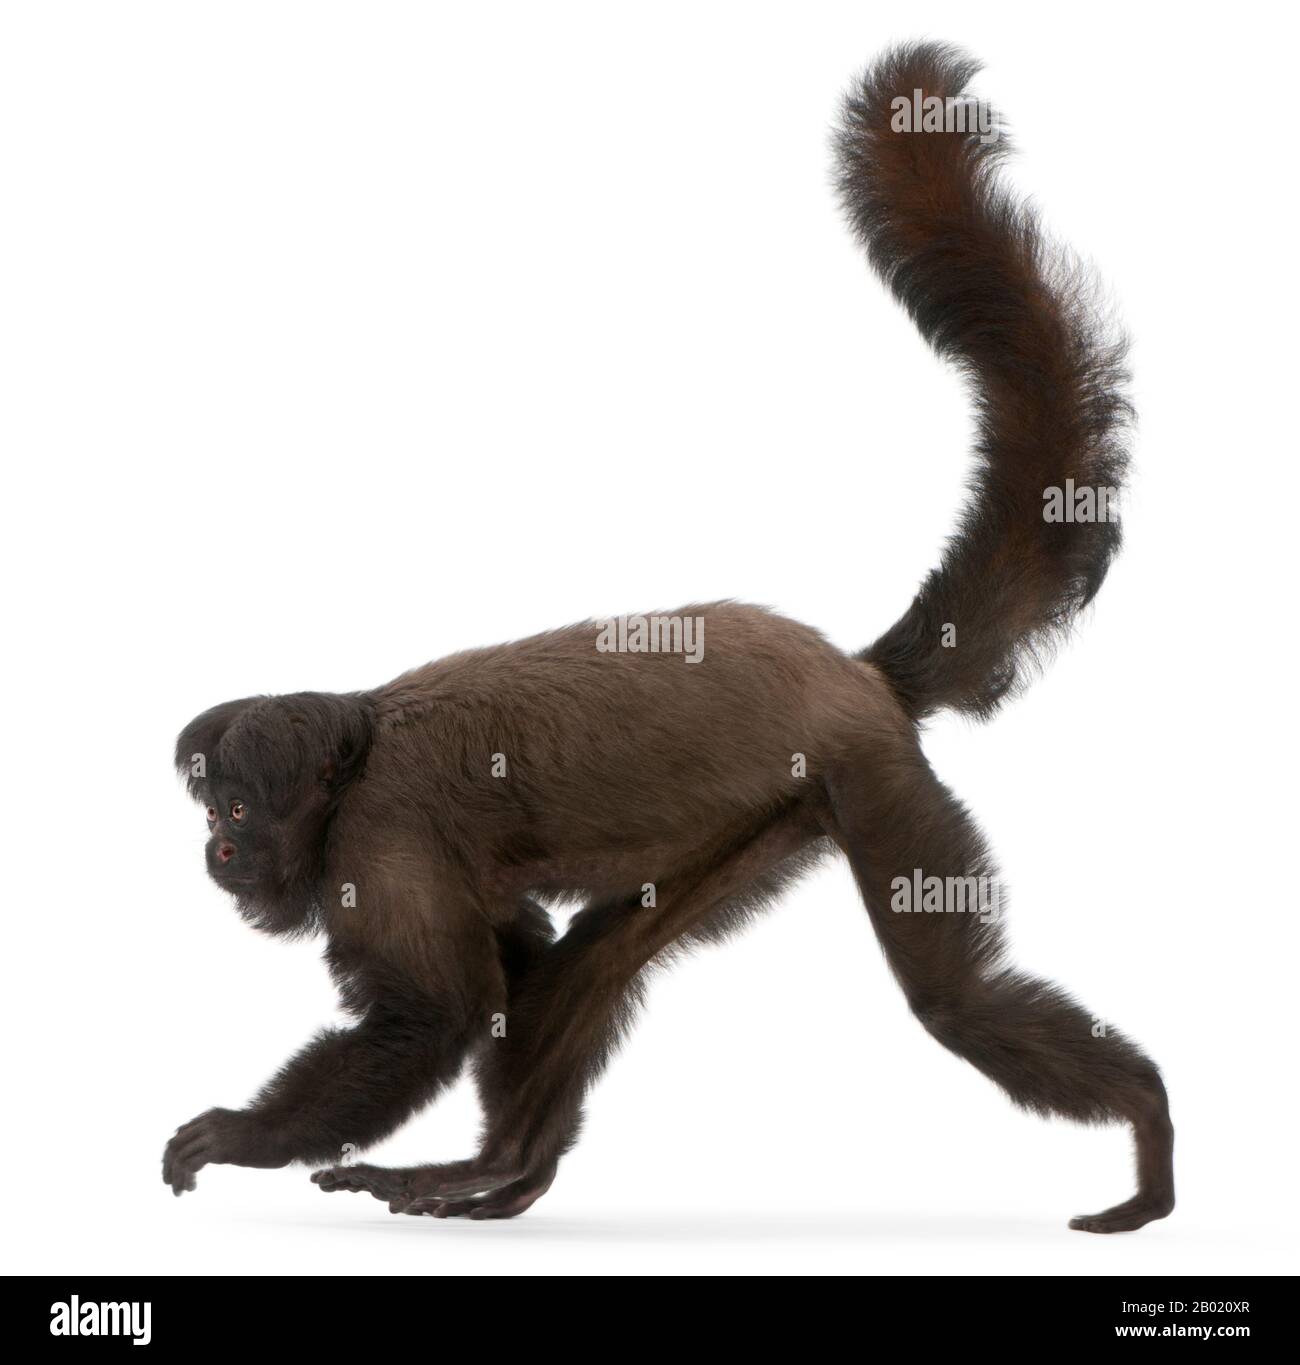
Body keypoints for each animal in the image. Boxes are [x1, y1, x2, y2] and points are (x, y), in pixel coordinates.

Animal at [164, 42, 1174, 1232]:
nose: (215, 851)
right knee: (595, 958)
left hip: (873, 778)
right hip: (769, 822)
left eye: (234, 811)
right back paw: (506, 1171)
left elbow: (437, 1013)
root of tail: (850, 672)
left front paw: (241, 1135)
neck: (351, 749)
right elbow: (520, 955)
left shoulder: (378, 841)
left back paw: (1147, 1115)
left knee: (956, 999)